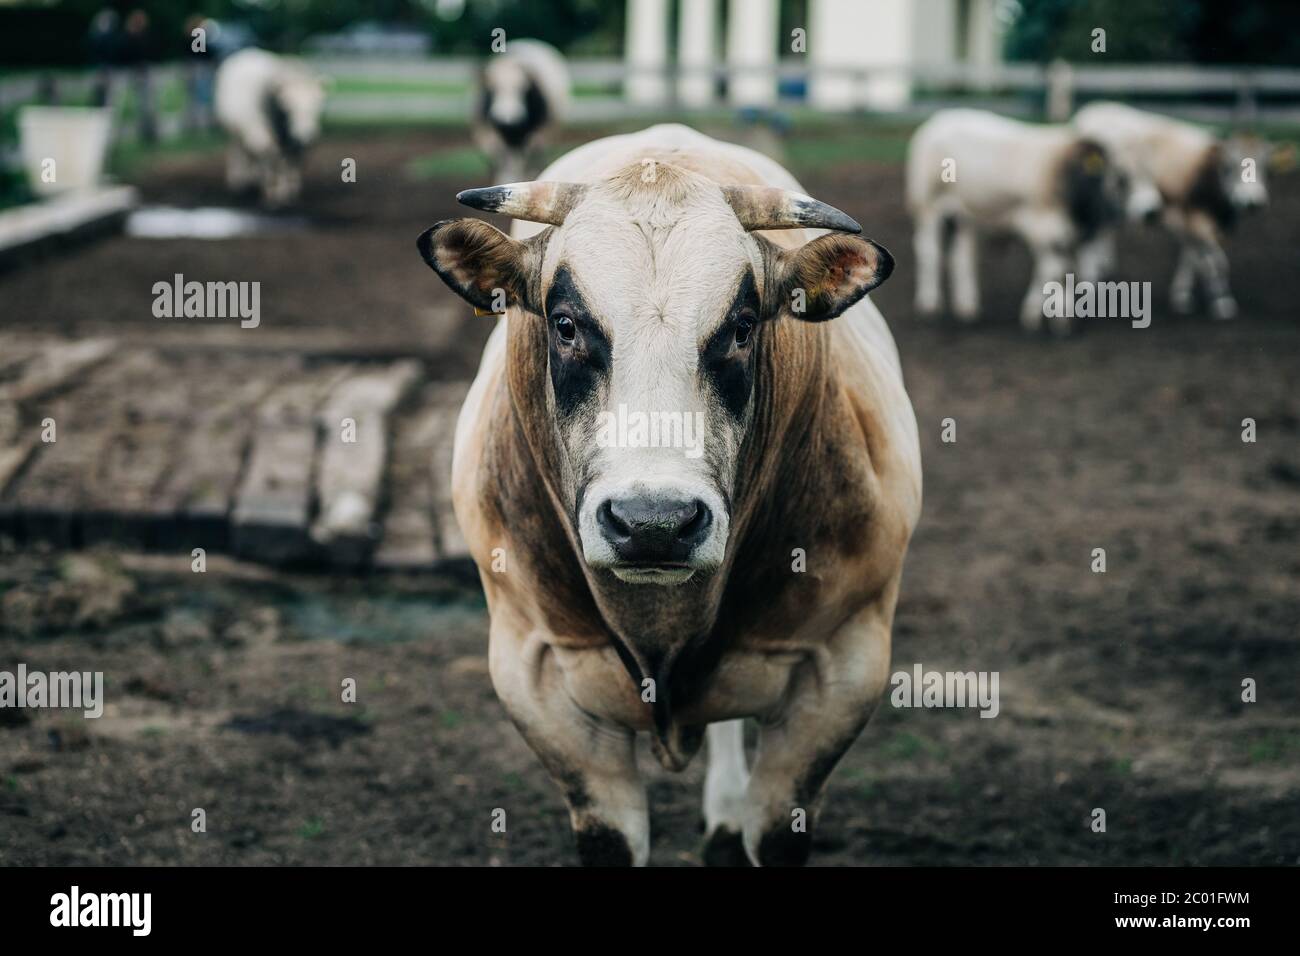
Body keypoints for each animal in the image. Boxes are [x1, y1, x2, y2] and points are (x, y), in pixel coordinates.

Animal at [214, 48, 325, 208]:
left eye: (317, 105)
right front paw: (272, 194)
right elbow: (272, 163)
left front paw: (290, 192)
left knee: (250, 153)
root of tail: (247, 53)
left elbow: (291, 164)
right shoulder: (267, 141)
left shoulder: (294, 145)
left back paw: (252, 179)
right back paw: (239, 182)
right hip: (235, 133)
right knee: (238, 151)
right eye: (287, 107)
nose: (306, 135)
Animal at [472, 39, 570, 184]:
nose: (507, 121)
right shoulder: (490, 139)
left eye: (523, 89)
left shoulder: (536, 137)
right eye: (493, 89)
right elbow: (501, 163)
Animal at [906, 108, 1156, 334]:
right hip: (927, 205)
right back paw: (930, 304)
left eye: (1150, 172)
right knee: (928, 250)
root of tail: (938, 120)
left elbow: (1052, 271)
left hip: (964, 218)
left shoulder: (1068, 234)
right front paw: (1059, 320)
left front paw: (1039, 313)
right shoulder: (1047, 228)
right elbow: (1056, 271)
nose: (1151, 212)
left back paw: (967, 308)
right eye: (1123, 177)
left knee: (962, 256)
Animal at [1074, 101, 1275, 320]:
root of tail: (1092, 109)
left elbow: (1192, 254)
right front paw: (1221, 301)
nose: (1253, 202)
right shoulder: (1190, 219)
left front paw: (1183, 295)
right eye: (1230, 166)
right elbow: (1213, 261)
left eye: (1265, 166)